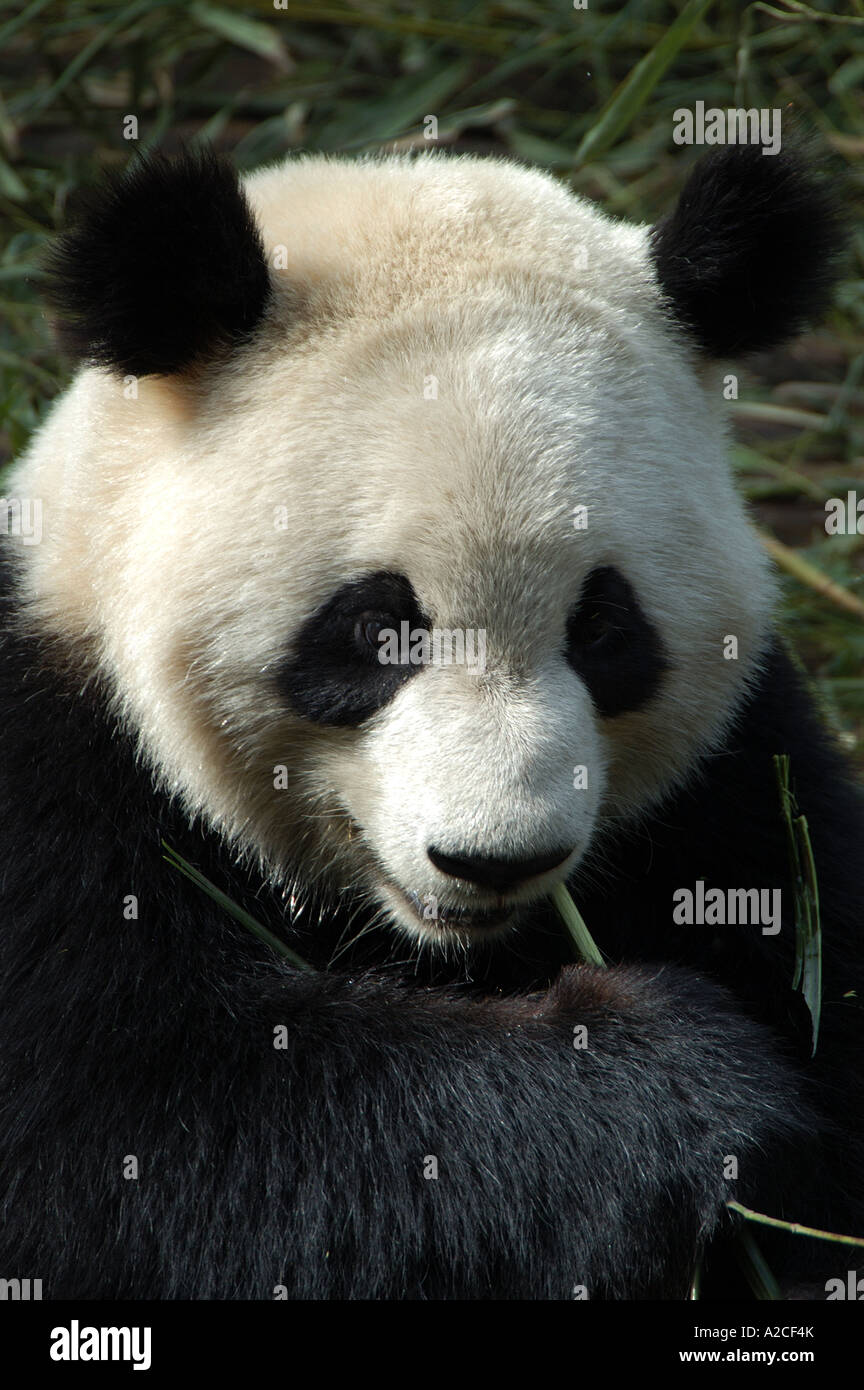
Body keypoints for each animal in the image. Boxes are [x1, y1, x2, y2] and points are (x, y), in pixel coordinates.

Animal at [0, 141, 861, 1302]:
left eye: (603, 628)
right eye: (377, 626)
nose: (494, 859)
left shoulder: (745, 785)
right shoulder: (50, 777)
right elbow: (147, 1134)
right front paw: (680, 1087)